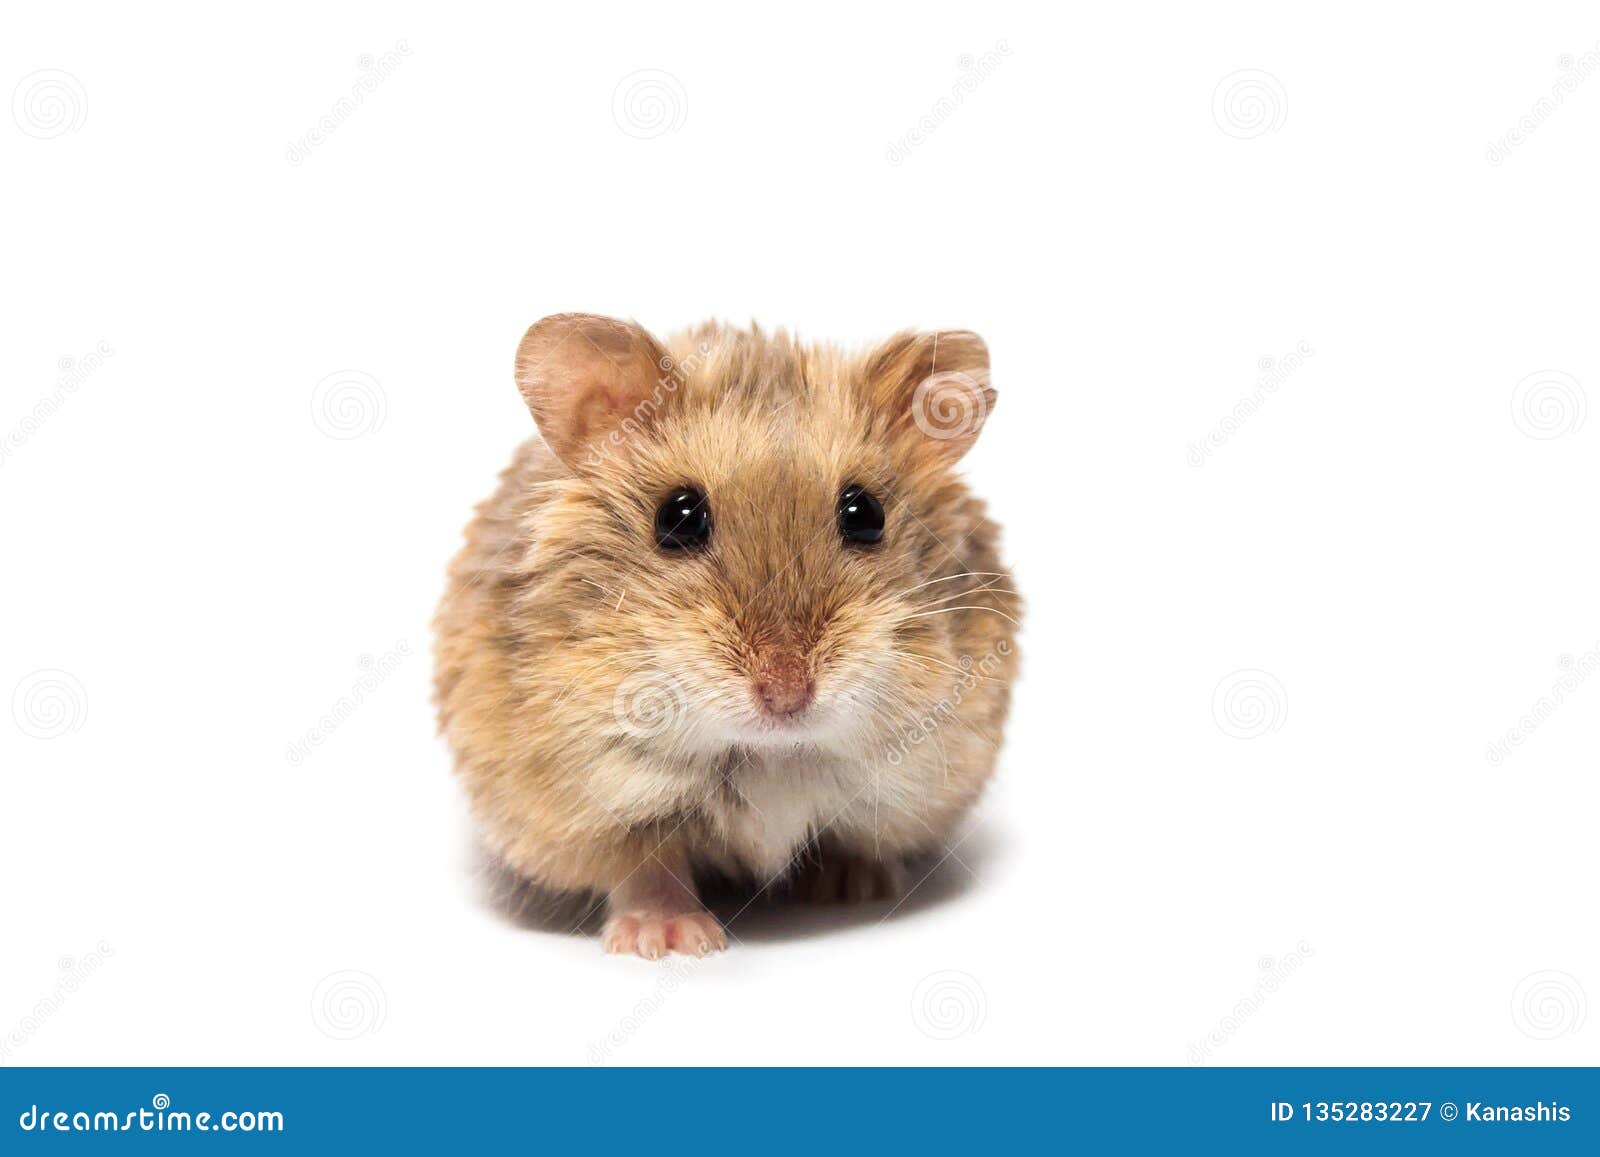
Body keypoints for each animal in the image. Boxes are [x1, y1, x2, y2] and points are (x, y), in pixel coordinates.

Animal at [433, 314, 1020, 957]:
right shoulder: (594, 802)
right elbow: (647, 867)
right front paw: (670, 939)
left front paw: (857, 888)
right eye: (678, 518)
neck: (771, 752)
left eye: (865, 514)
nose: (787, 696)